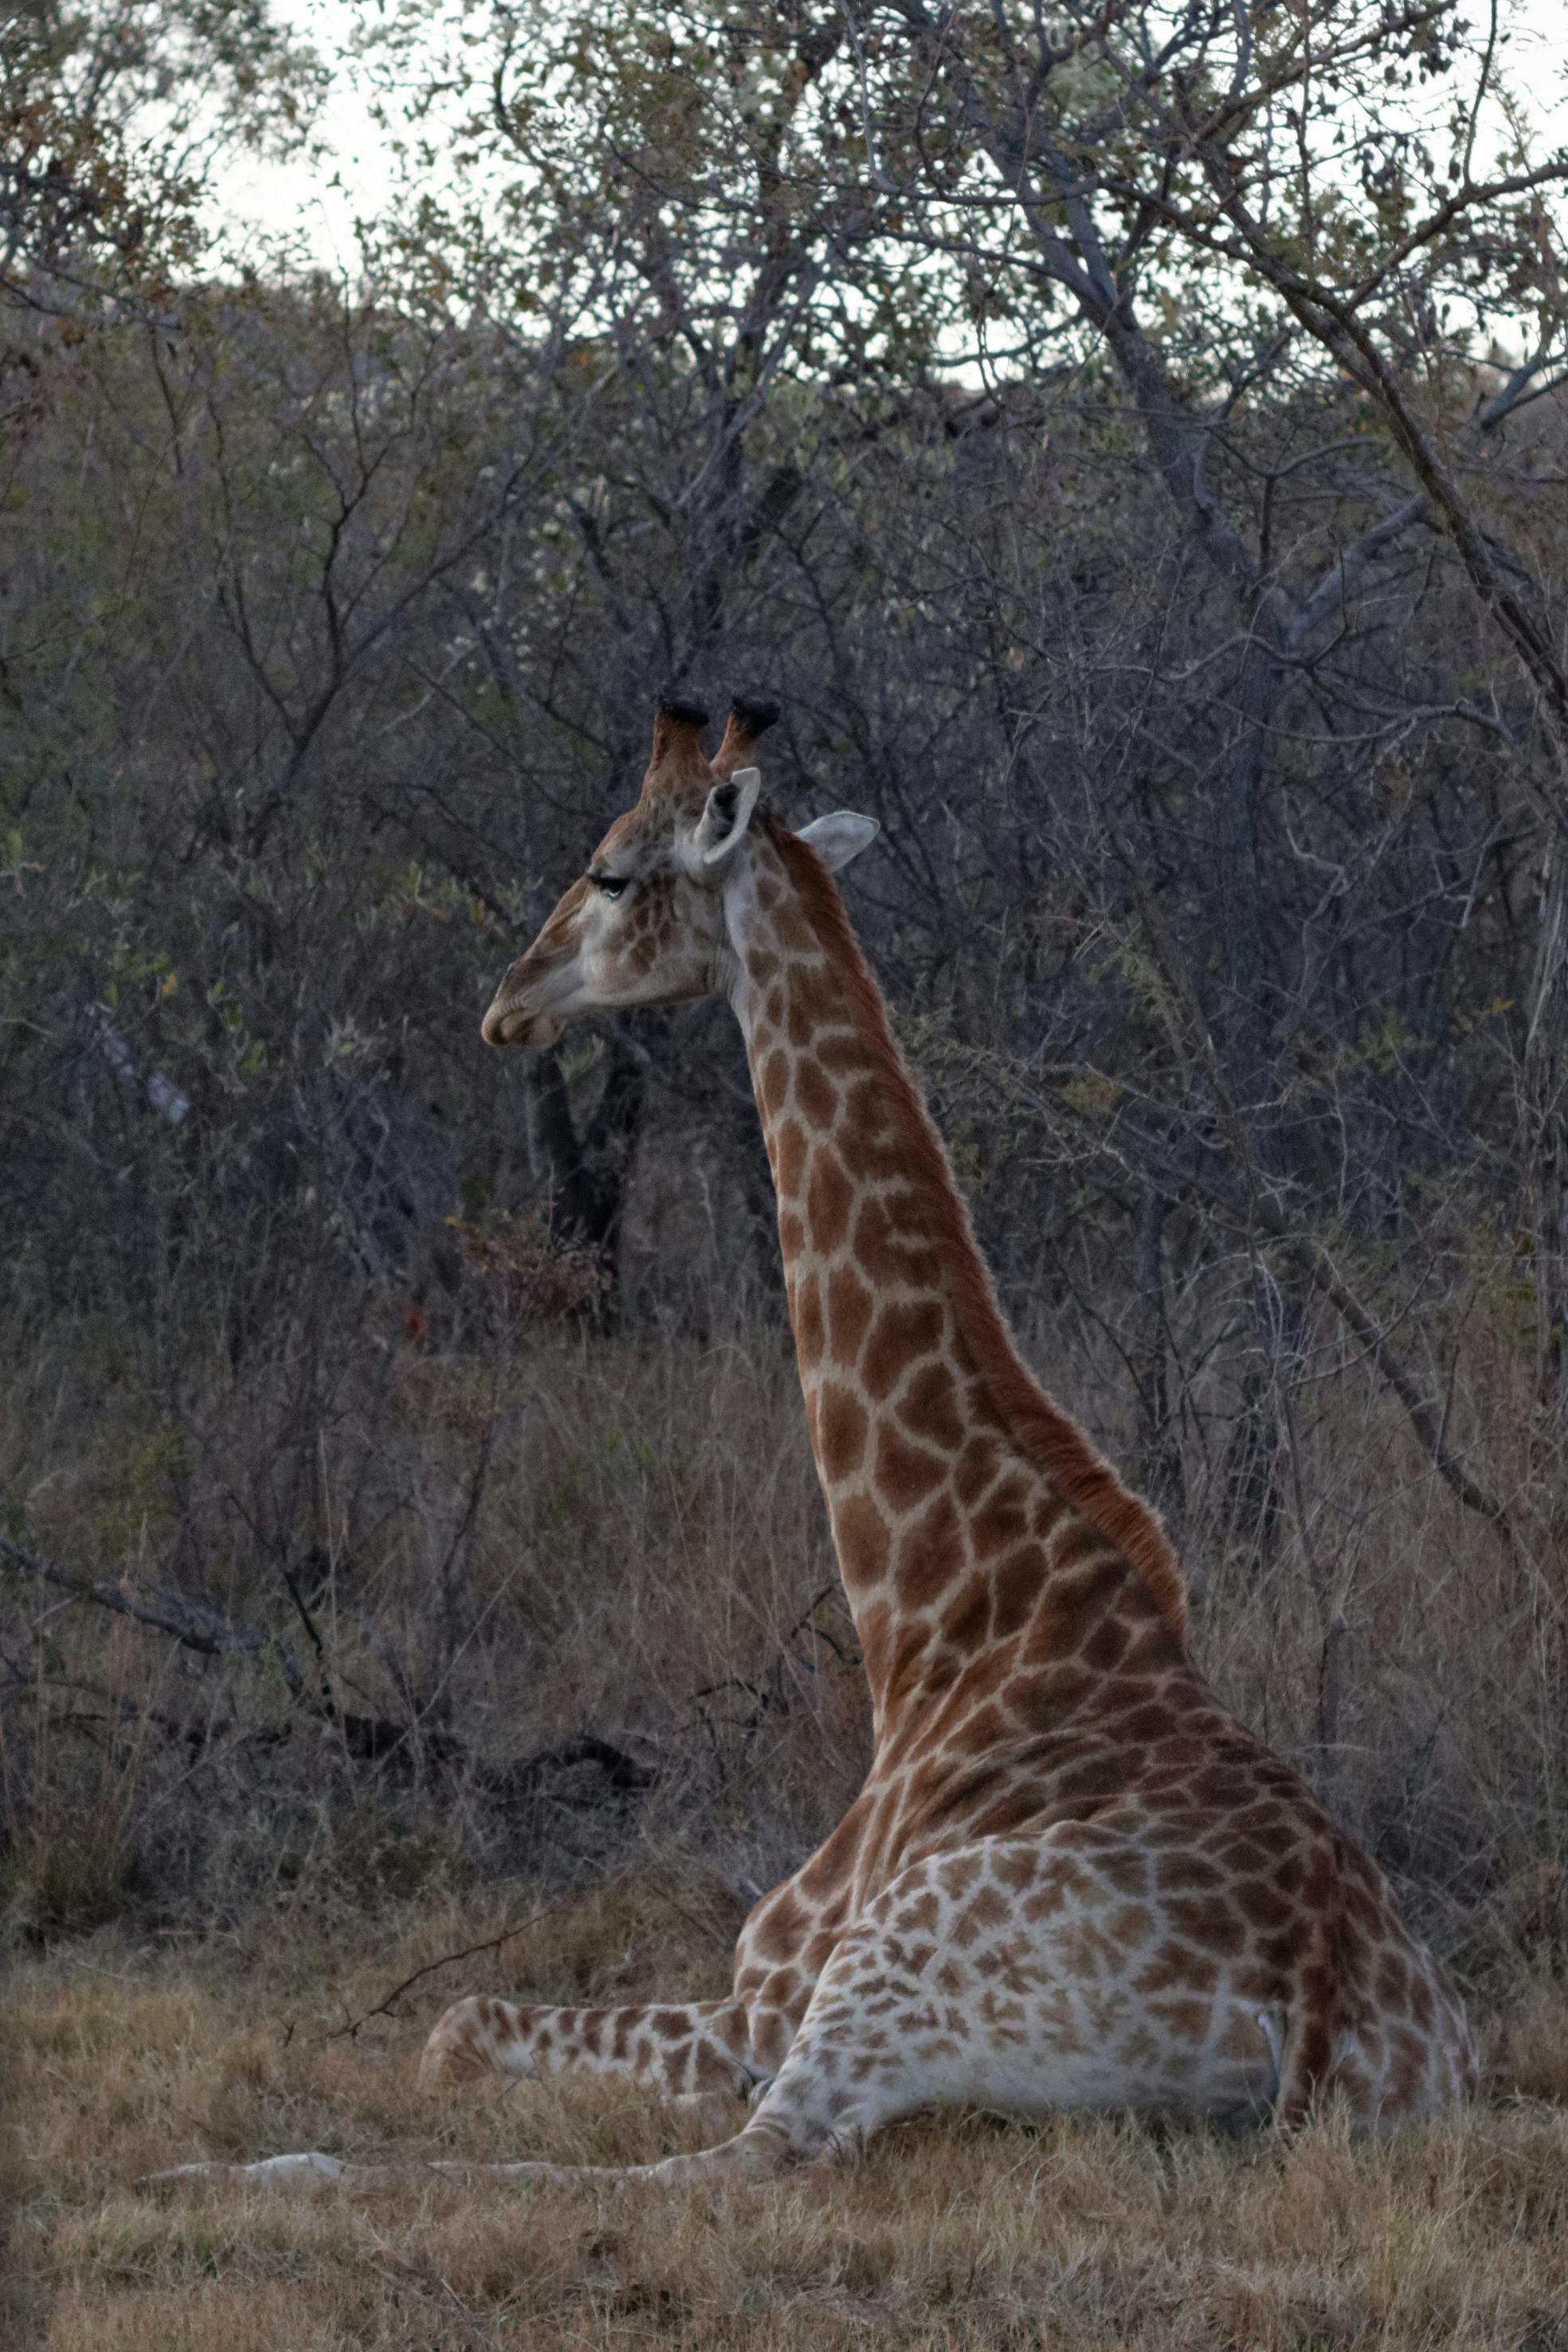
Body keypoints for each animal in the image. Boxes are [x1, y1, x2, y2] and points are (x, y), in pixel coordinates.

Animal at [153, 695, 1474, 2193]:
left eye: (613, 872)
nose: (509, 1000)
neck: (934, 1617)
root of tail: (1312, 2017)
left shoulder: (761, 1996)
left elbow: (457, 2021)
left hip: (882, 1975)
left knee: (736, 2161)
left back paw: (239, 2173)